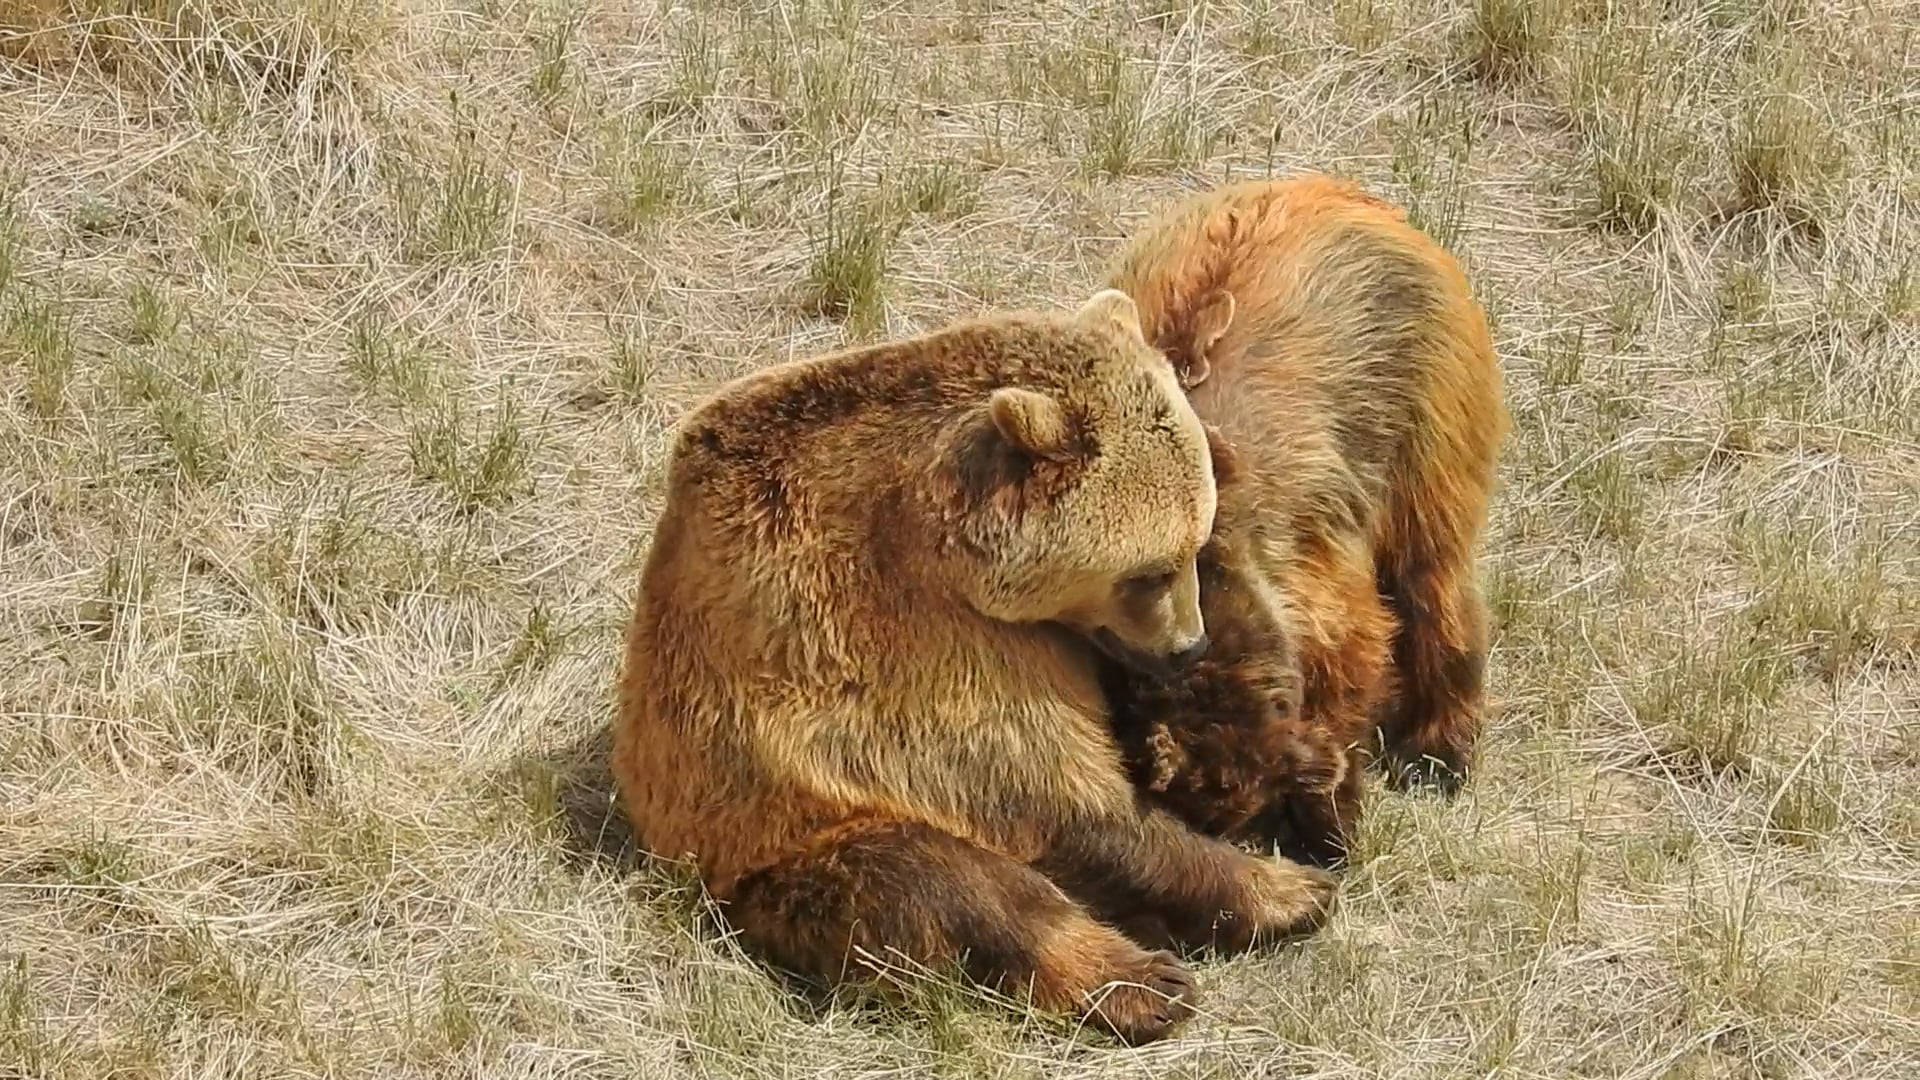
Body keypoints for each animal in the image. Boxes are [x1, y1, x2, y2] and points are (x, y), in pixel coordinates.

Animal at [610, 289, 1338, 1046]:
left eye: (1192, 547)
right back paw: (1145, 981)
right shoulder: (905, 645)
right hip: (773, 839)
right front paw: (1284, 888)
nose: (1185, 647)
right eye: (1149, 572)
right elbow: (1049, 793)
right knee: (940, 883)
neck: (944, 551)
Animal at [1096, 173, 1508, 860]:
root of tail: (1340, 189)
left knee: (1432, 569)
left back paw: (1438, 748)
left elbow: (1355, 652)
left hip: (1425, 400)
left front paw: (1331, 807)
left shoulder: (1305, 551)